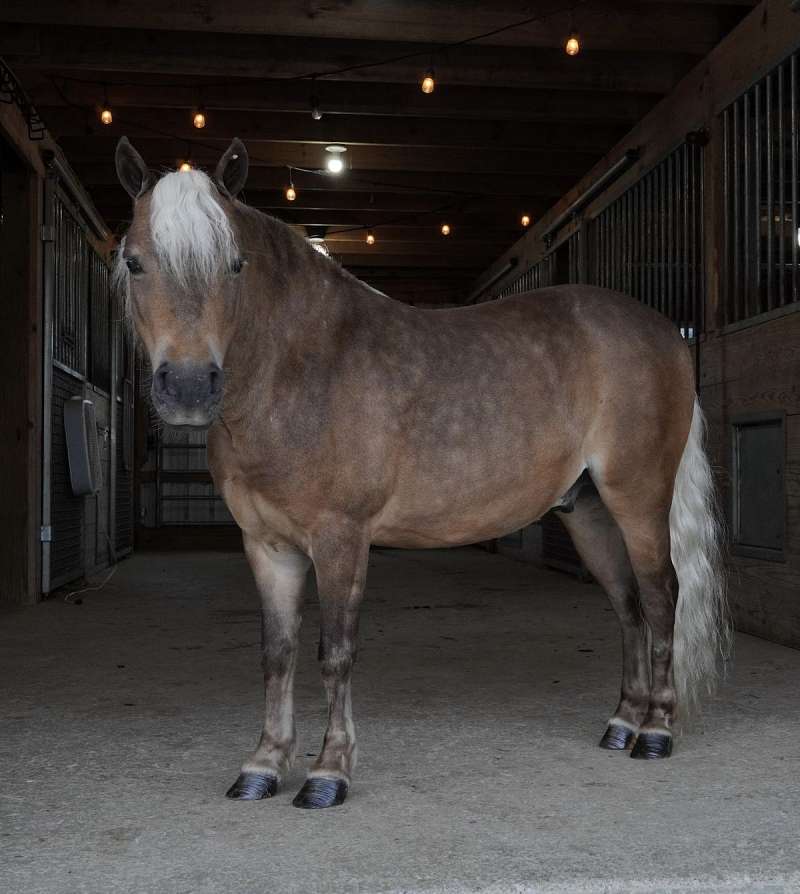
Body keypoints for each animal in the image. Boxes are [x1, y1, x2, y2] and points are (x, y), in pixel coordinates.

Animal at [114, 136, 728, 809]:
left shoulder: (340, 538)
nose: (189, 388)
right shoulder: (267, 545)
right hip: (588, 510)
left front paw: (328, 774)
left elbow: (335, 652)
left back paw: (656, 732)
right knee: (627, 605)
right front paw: (264, 765)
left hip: (637, 497)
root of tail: (665, 333)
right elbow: (277, 654)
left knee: (661, 595)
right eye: (134, 262)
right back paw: (621, 724)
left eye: (235, 265)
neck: (301, 370)